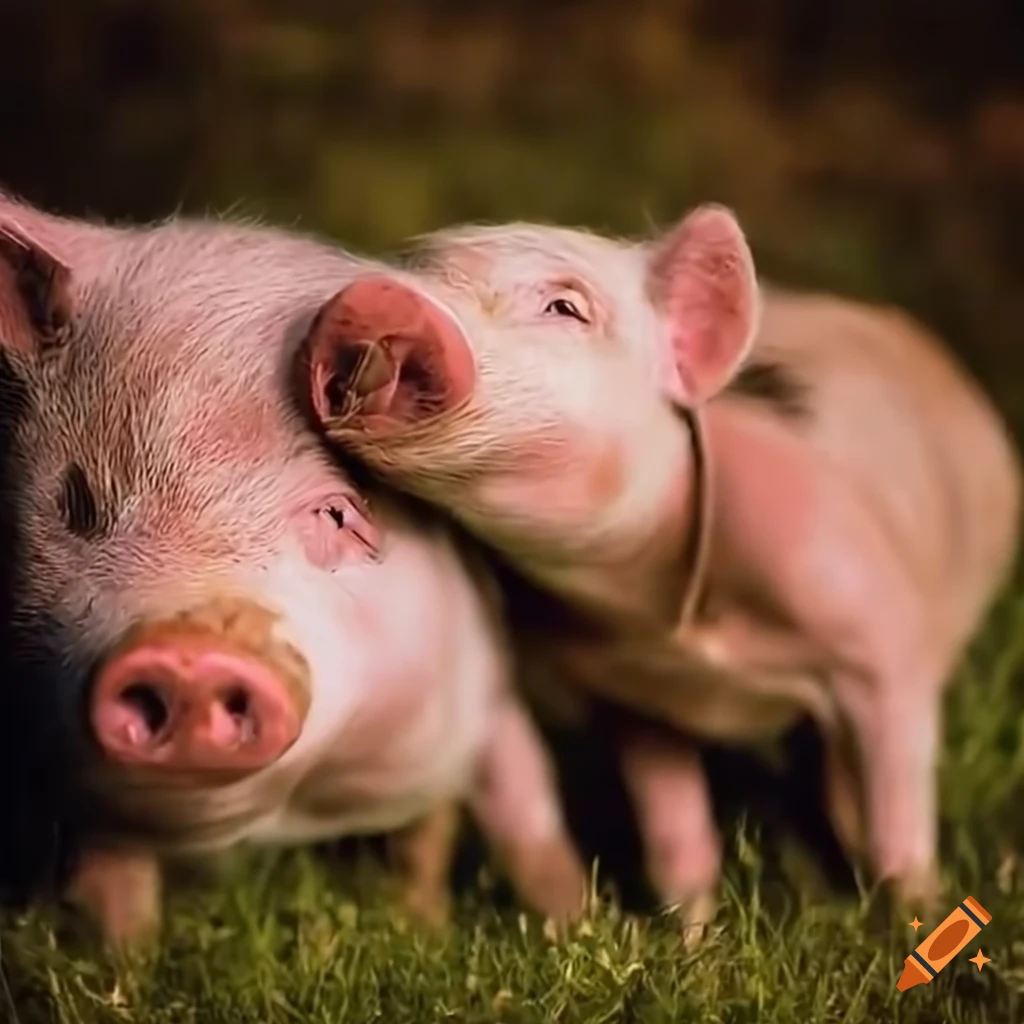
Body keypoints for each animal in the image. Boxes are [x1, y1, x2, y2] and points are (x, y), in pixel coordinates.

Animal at [0, 193, 589, 948]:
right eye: (79, 502)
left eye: (337, 514)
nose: (188, 657)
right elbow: (112, 883)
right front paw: (123, 960)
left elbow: (446, 829)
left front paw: (439, 931)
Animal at [301, 205, 1022, 941]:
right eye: (415, 268)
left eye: (566, 306)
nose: (371, 296)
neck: (663, 622)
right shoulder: (637, 696)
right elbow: (669, 838)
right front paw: (679, 940)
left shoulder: (882, 643)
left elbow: (898, 823)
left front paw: (909, 924)